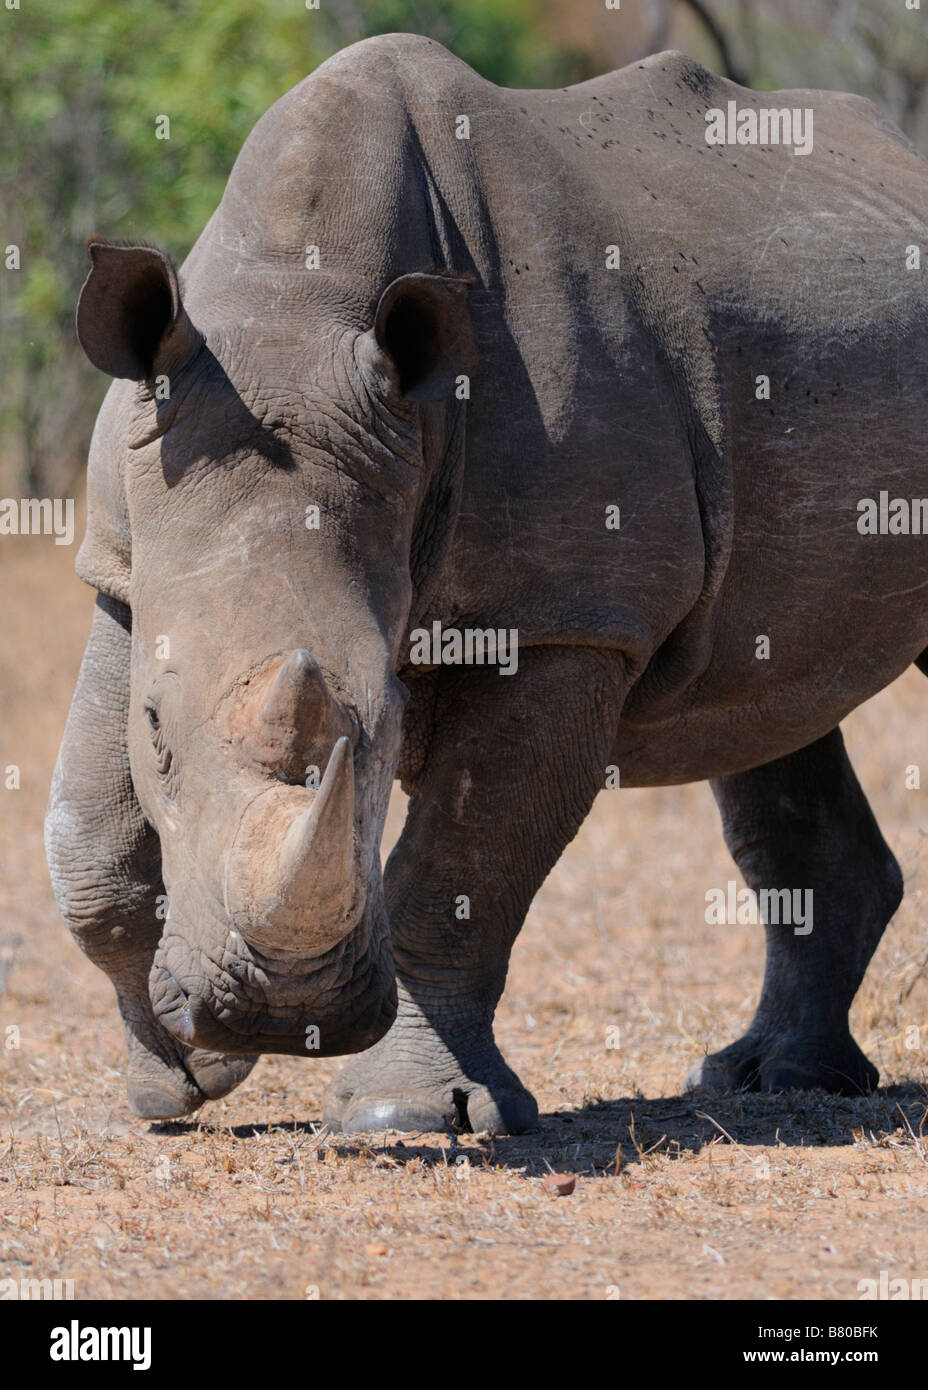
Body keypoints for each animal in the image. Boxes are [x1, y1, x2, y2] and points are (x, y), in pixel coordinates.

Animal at [46, 34, 928, 1133]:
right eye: (157, 730)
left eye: (385, 727)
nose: (273, 1012)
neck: (289, 324)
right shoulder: (125, 564)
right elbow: (91, 838)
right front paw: (179, 1075)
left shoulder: (561, 617)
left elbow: (462, 869)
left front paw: (404, 1117)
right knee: (771, 704)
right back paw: (772, 1078)